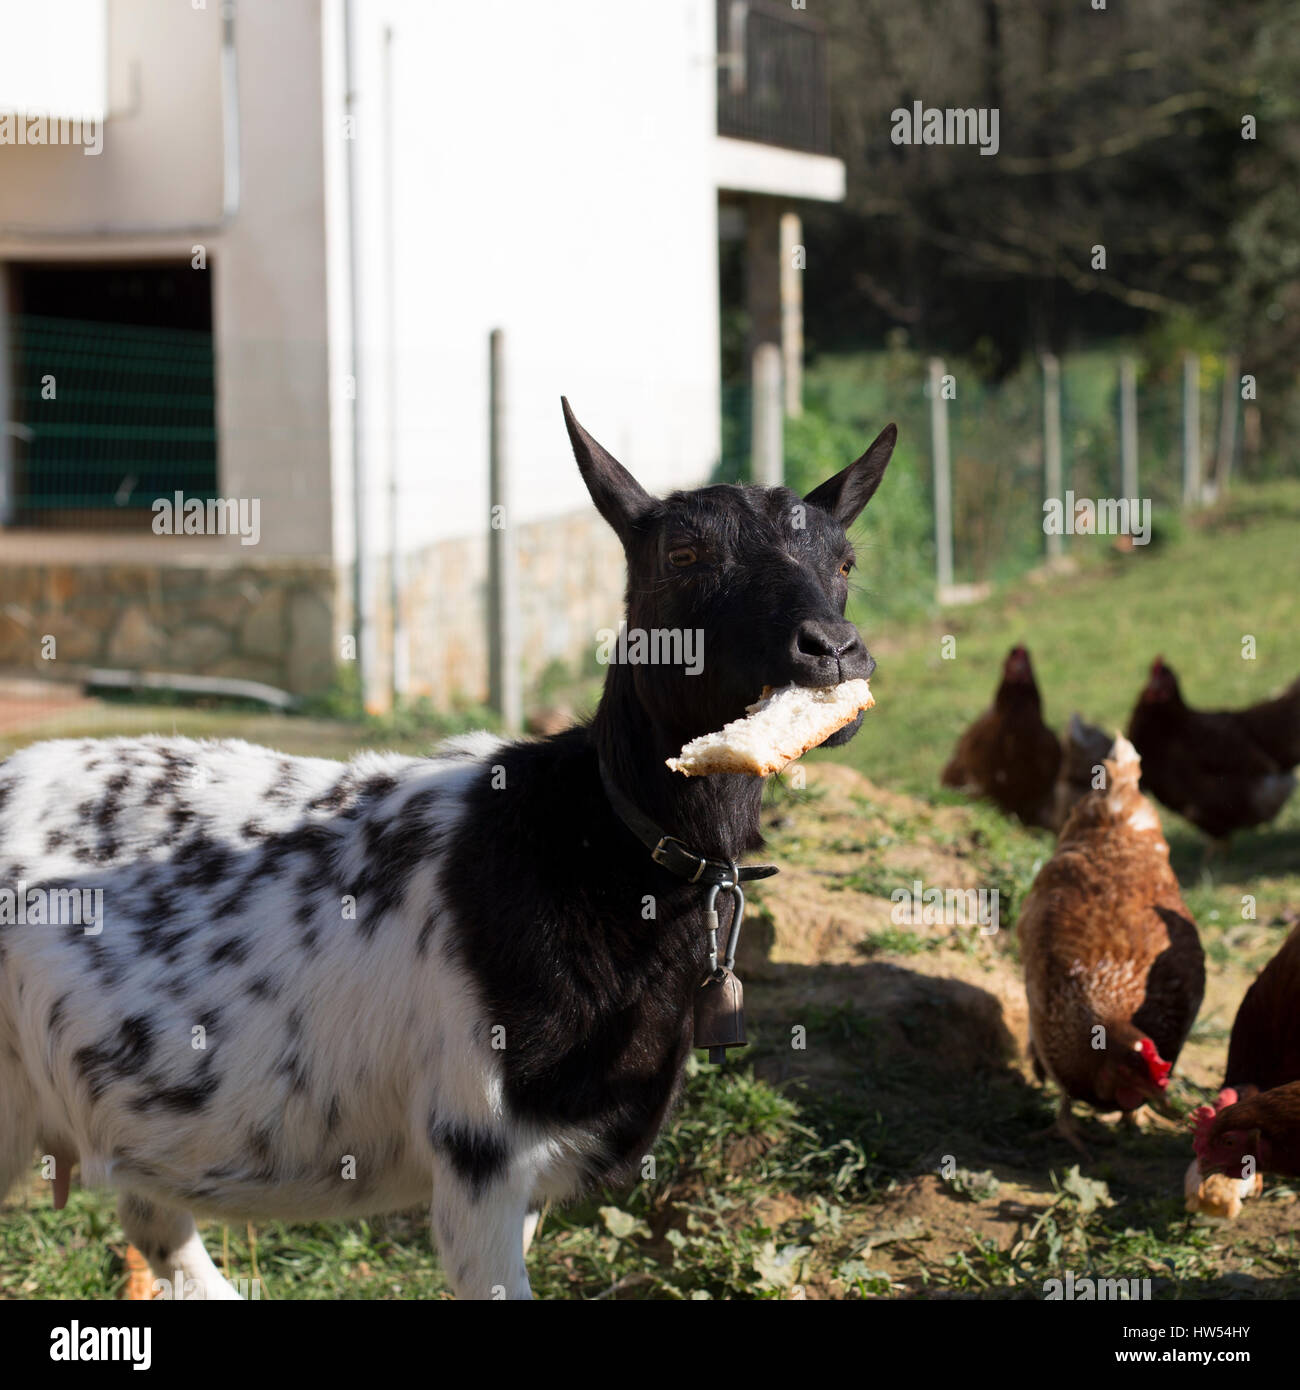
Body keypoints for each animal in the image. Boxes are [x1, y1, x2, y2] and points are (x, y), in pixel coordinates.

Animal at [0, 400, 895, 1299]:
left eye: (845, 560)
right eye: (684, 554)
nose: (833, 649)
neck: (587, 843)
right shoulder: (478, 1146)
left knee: (158, 1227)